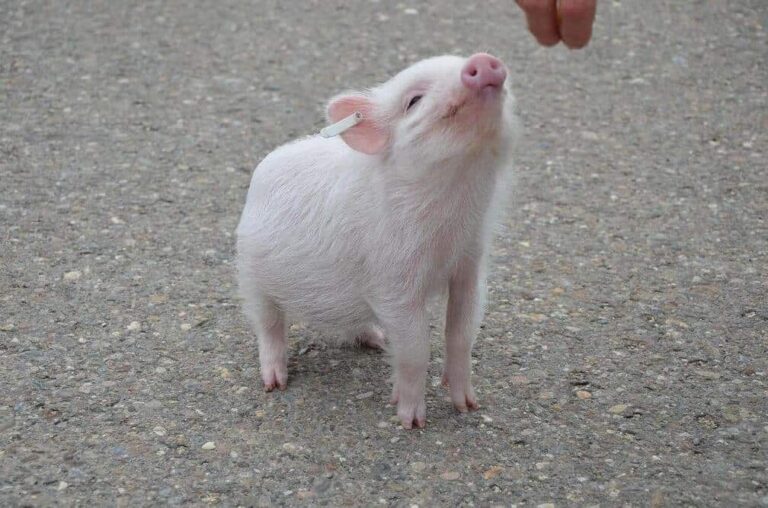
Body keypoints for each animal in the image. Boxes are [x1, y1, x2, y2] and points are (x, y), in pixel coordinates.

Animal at [236, 53, 518, 429]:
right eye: (414, 100)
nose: (483, 61)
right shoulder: (393, 280)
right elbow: (415, 349)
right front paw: (412, 422)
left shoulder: (469, 264)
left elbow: (461, 333)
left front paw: (468, 406)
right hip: (250, 272)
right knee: (267, 325)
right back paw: (274, 383)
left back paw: (377, 340)